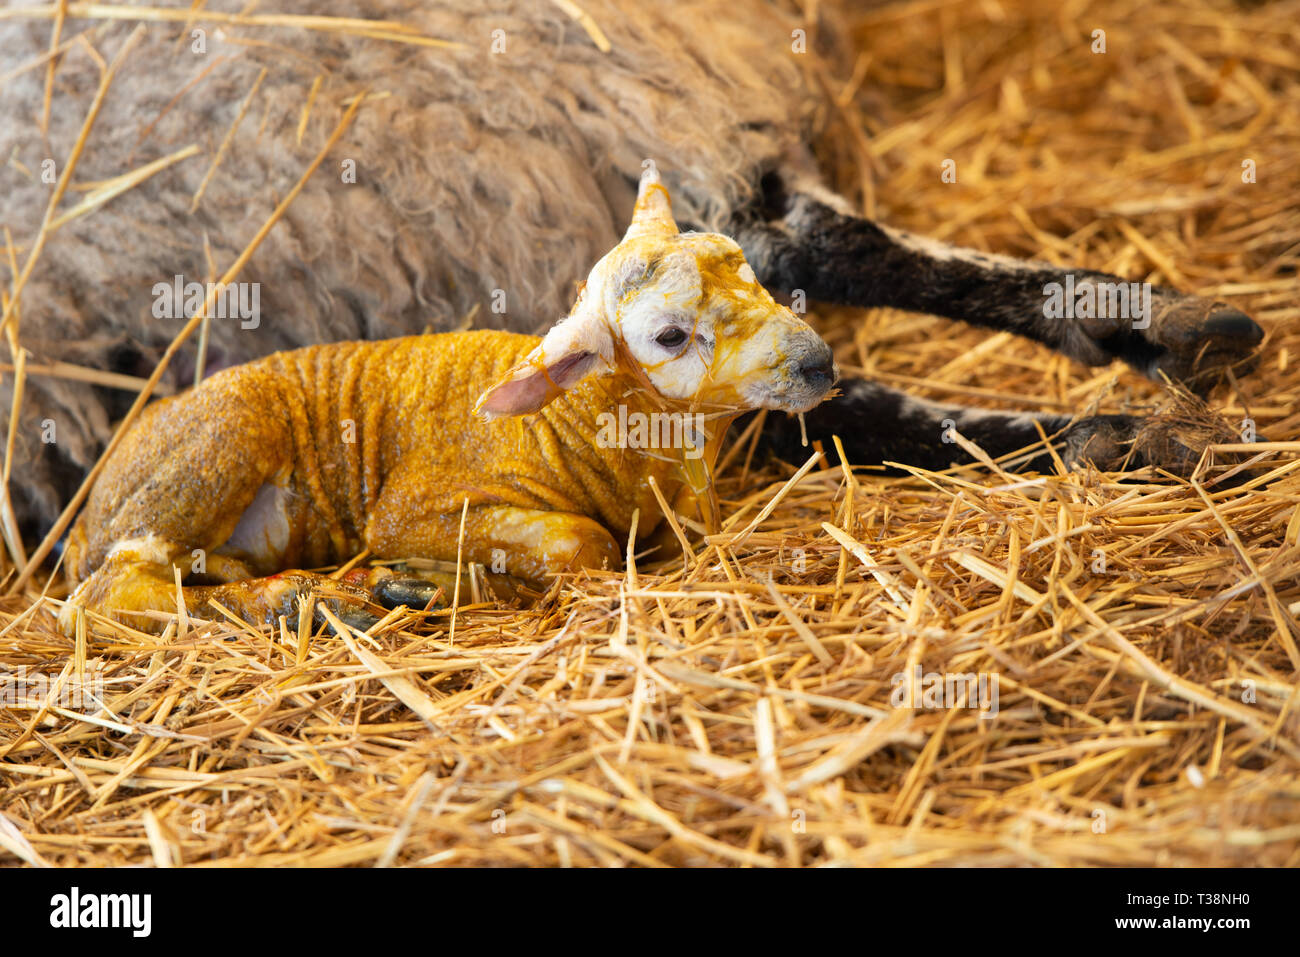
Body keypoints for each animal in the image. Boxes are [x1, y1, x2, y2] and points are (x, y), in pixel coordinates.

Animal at [57, 171, 835, 632]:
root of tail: (85, 519)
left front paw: (438, 586)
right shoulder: (411, 508)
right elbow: (581, 544)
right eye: (670, 336)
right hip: (220, 440)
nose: (818, 363)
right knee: (102, 597)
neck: (573, 424)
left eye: (748, 269)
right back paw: (291, 599)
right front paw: (429, 580)